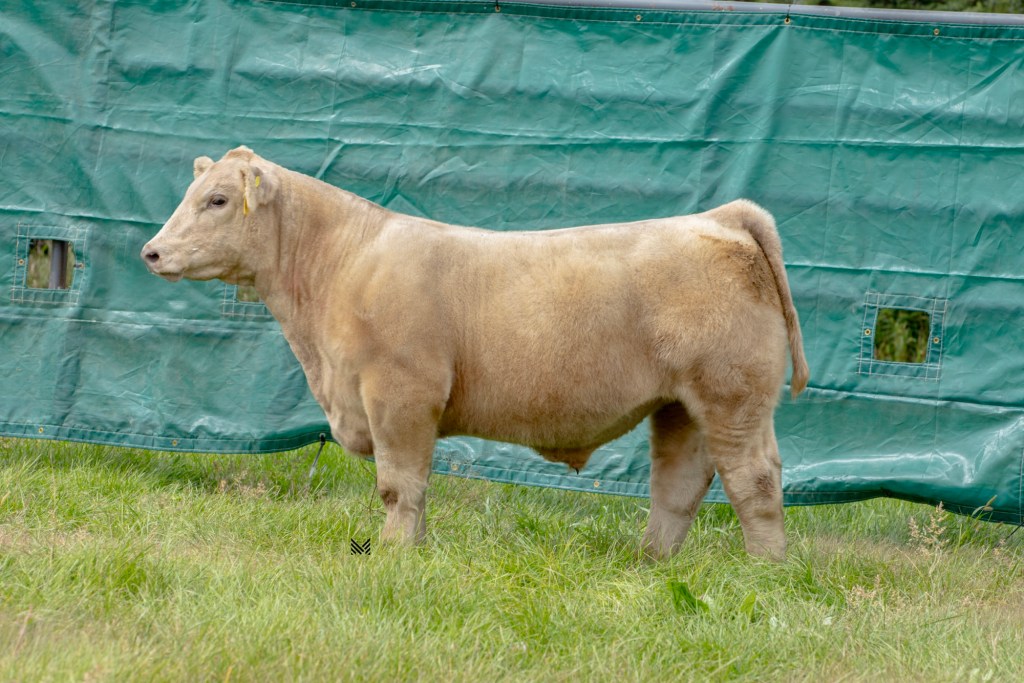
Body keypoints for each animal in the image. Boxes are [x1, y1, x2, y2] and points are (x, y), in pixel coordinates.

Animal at [142, 146, 809, 560]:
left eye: (217, 200)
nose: (151, 252)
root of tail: (720, 217)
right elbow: (415, 486)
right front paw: (414, 551)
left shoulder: (399, 394)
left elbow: (398, 484)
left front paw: (391, 553)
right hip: (681, 406)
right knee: (679, 484)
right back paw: (650, 562)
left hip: (733, 396)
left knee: (754, 481)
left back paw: (764, 572)